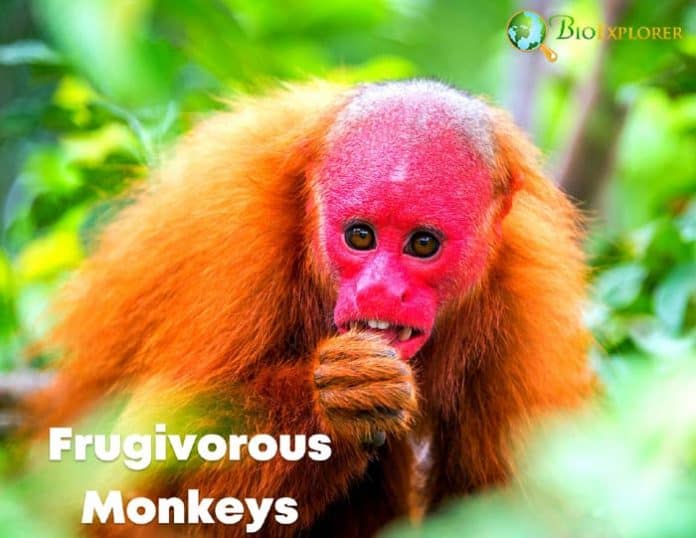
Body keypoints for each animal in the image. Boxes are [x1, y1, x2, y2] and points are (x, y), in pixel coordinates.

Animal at [24, 79, 593, 537]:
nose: (380, 291)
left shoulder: (527, 302)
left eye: (423, 244)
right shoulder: (232, 245)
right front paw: (337, 398)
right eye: (360, 236)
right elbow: (148, 495)